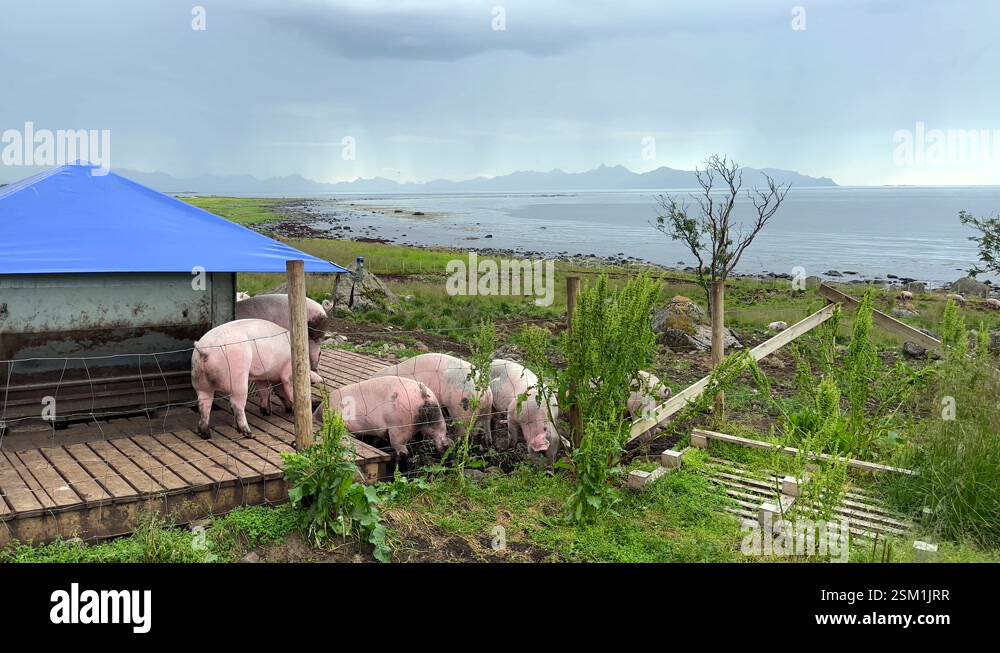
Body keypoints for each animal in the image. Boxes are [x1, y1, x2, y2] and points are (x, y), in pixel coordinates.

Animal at [191, 319, 323, 439]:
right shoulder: (287, 374)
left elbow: (265, 391)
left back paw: (205, 434)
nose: (288, 410)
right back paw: (249, 433)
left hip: (199, 380)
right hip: (237, 377)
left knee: (204, 403)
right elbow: (288, 391)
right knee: (236, 404)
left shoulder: (262, 377)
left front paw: (266, 412)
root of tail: (205, 350)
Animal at [313, 376, 451, 458]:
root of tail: (422, 392)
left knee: (402, 450)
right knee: (440, 435)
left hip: (399, 425)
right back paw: (445, 449)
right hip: (436, 414)